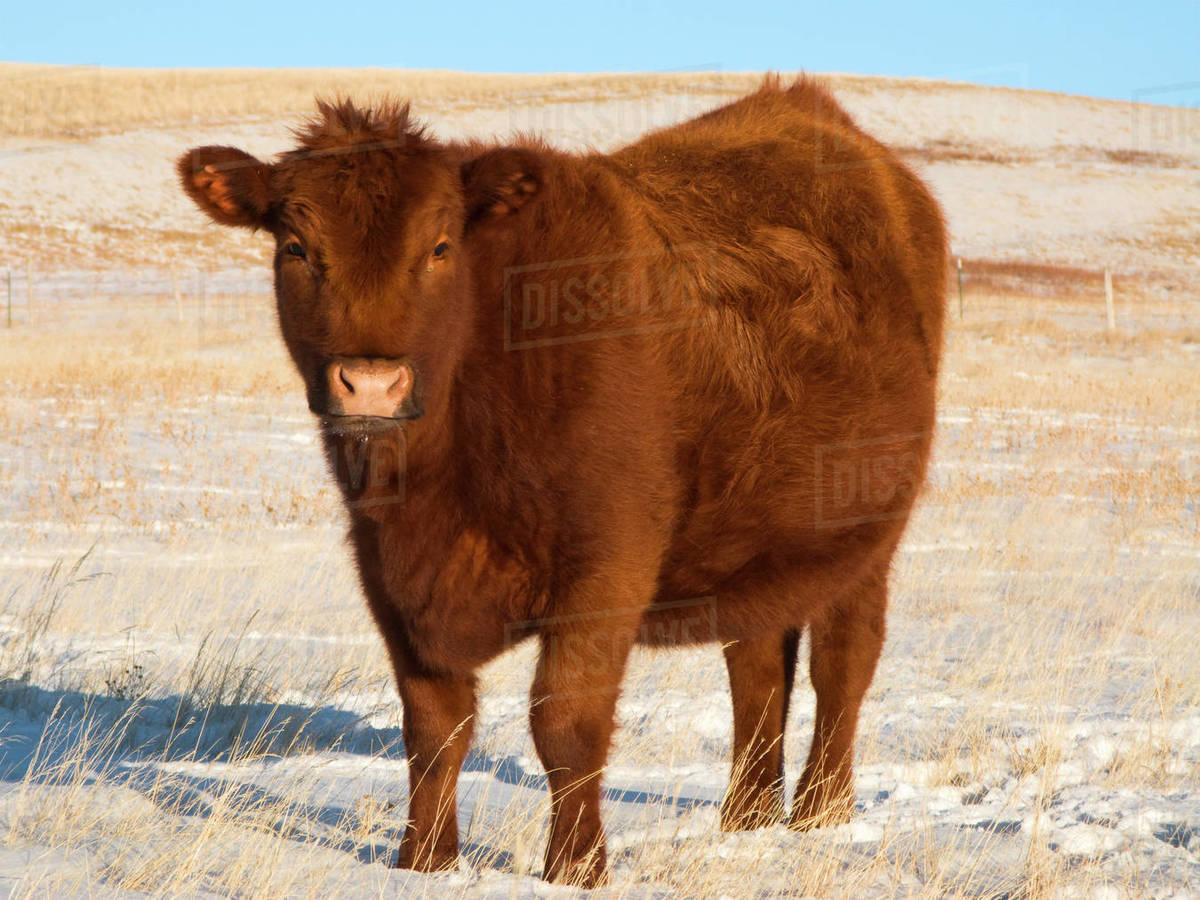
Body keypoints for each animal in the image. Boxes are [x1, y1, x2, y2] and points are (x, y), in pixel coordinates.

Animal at [177, 74, 946, 887]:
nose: (371, 384)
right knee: (758, 666)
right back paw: (746, 819)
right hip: (756, 543)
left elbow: (565, 720)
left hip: (866, 535)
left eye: (440, 247)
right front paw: (423, 861)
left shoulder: (607, 565)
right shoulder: (385, 569)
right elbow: (434, 724)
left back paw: (823, 813)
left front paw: (576, 868)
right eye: (296, 247)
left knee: (843, 663)